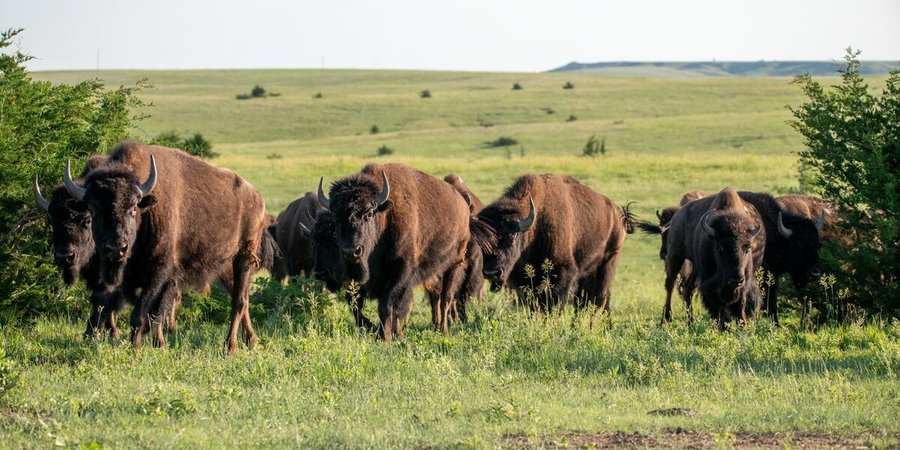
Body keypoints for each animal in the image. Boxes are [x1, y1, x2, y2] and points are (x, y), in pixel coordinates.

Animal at [470, 174, 633, 313]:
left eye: (512, 236)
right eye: (481, 242)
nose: (491, 272)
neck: (536, 224)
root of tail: (618, 213)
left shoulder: (563, 273)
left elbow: (553, 306)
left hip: (608, 262)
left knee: (599, 299)